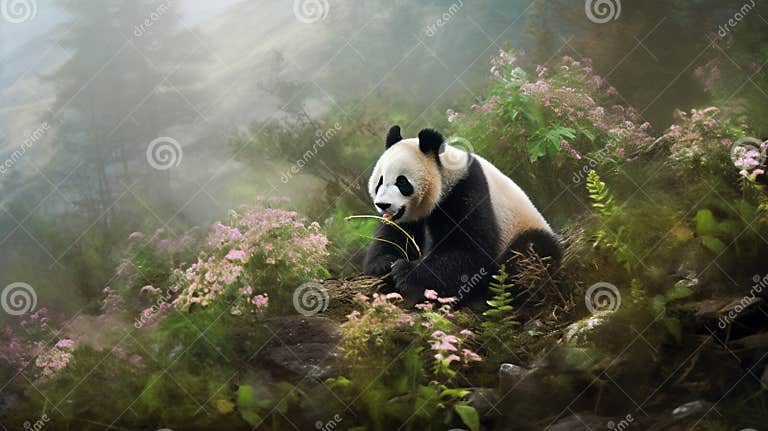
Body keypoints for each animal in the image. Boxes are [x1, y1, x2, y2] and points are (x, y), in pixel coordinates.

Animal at [363, 125, 561, 304]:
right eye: (380, 181)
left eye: (402, 182)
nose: (383, 205)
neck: (446, 174)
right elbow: (394, 235)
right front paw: (384, 264)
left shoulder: (467, 189)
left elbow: (472, 250)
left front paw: (406, 272)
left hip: (523, 229)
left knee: (529, 252)